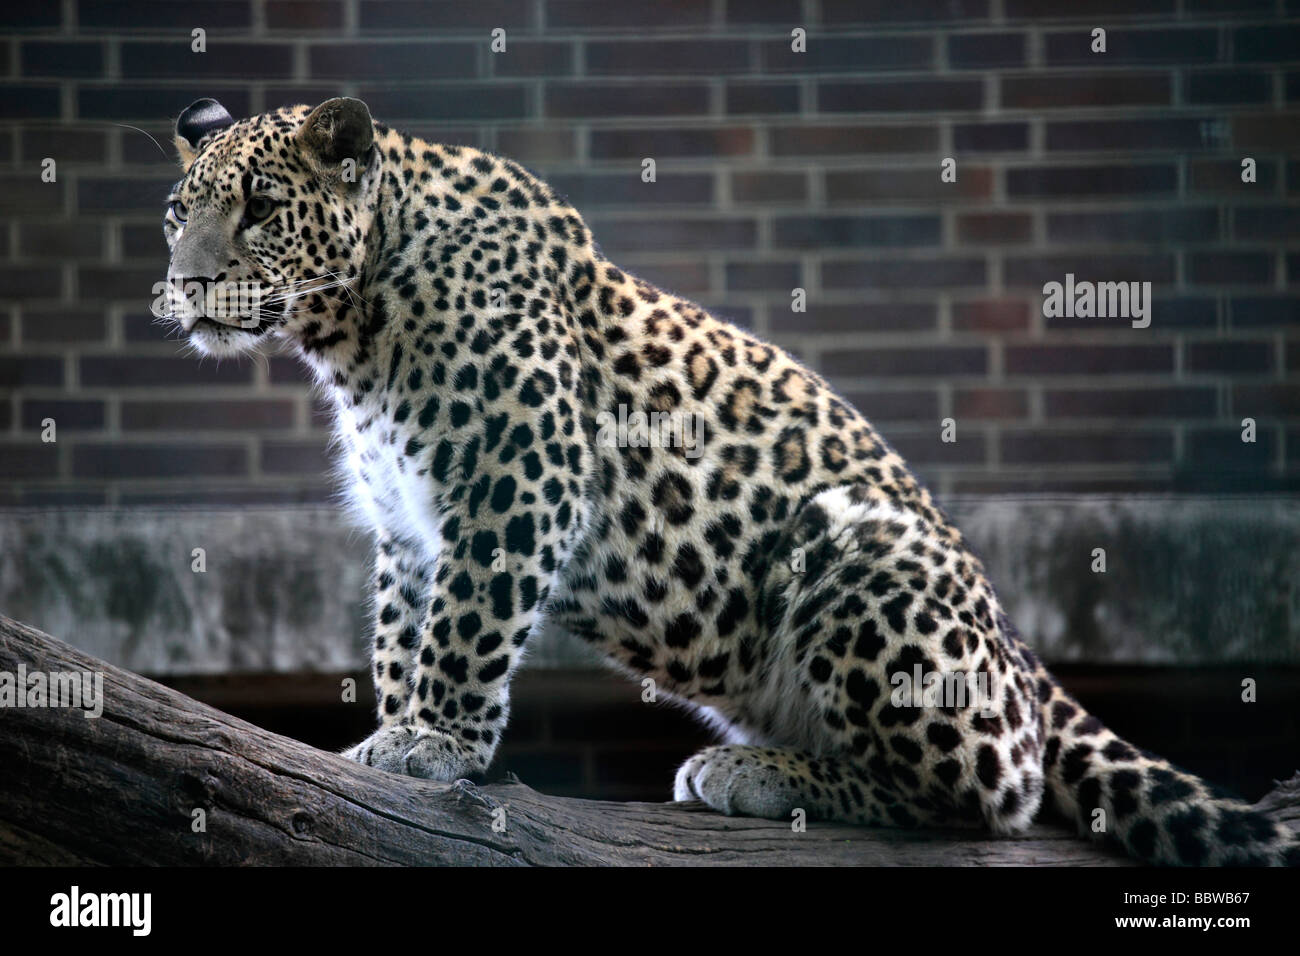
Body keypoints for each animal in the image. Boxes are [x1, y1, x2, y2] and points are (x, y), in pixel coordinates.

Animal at [160, 96, 1297, 866]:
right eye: (178, 212)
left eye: (260, 208)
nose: (187, 282)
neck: (352, 328)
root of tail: (1021, 652)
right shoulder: (407, 523)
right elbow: (403, 634)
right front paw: (390, 736)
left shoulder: (518, 470)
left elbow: (465, 628)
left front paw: (432, 743)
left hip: (858, 550)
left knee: (991, 796)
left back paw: (756, 775)